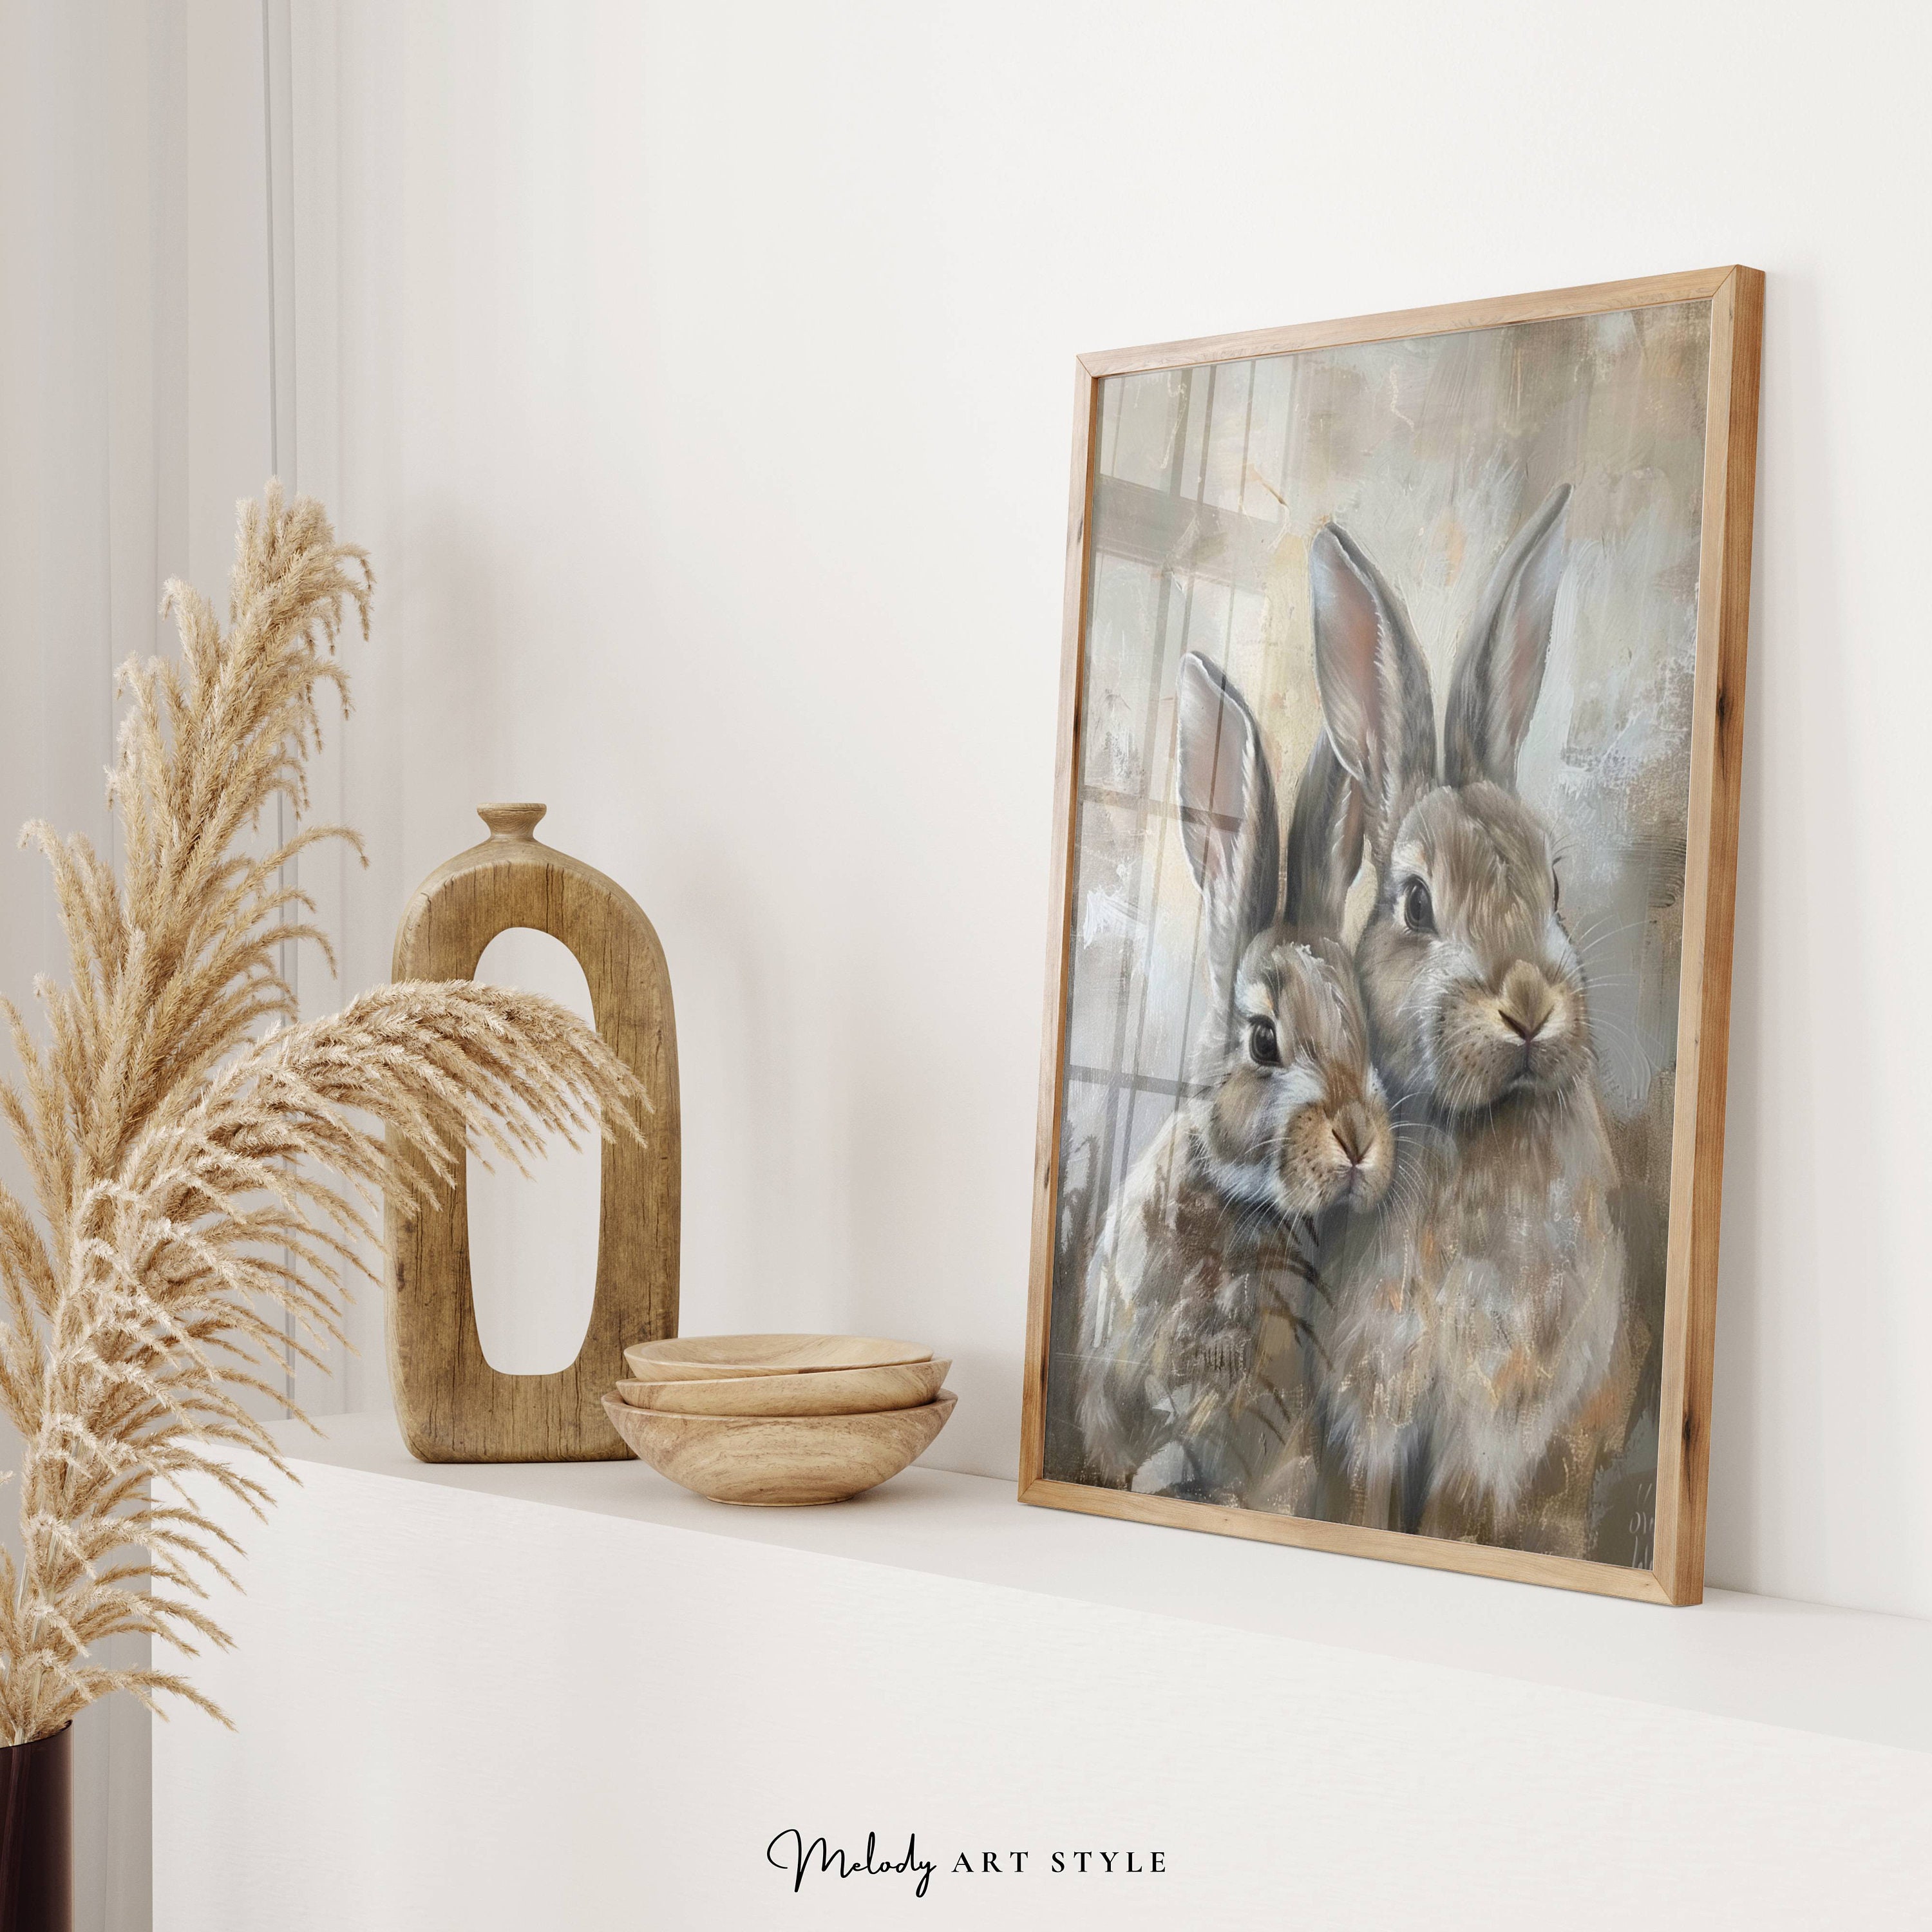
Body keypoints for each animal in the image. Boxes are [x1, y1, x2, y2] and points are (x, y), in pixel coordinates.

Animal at [1299, 485, 1631, 1544]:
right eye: (1415, 904)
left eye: (1552, 885)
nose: (1526, 1005)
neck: (1476, 1131)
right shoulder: (1370, 1401)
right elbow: (1360, 1512)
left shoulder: (1496, 1426)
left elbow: (1457, 1524)